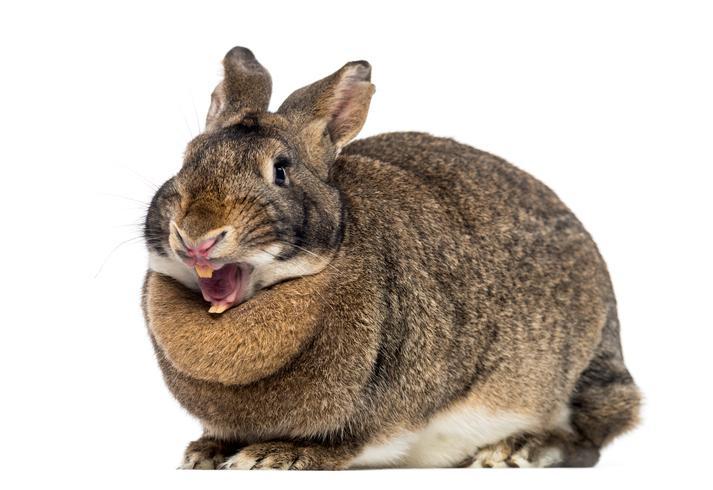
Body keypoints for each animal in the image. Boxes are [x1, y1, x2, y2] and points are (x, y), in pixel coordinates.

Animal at [142, 46, 641, 469]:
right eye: (187, 159)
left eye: (280, 170)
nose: (197, 236)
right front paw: (203, 453)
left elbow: (350, 442)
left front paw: (271, 455)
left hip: (580, 378)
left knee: (589, 438)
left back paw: (513, 451)